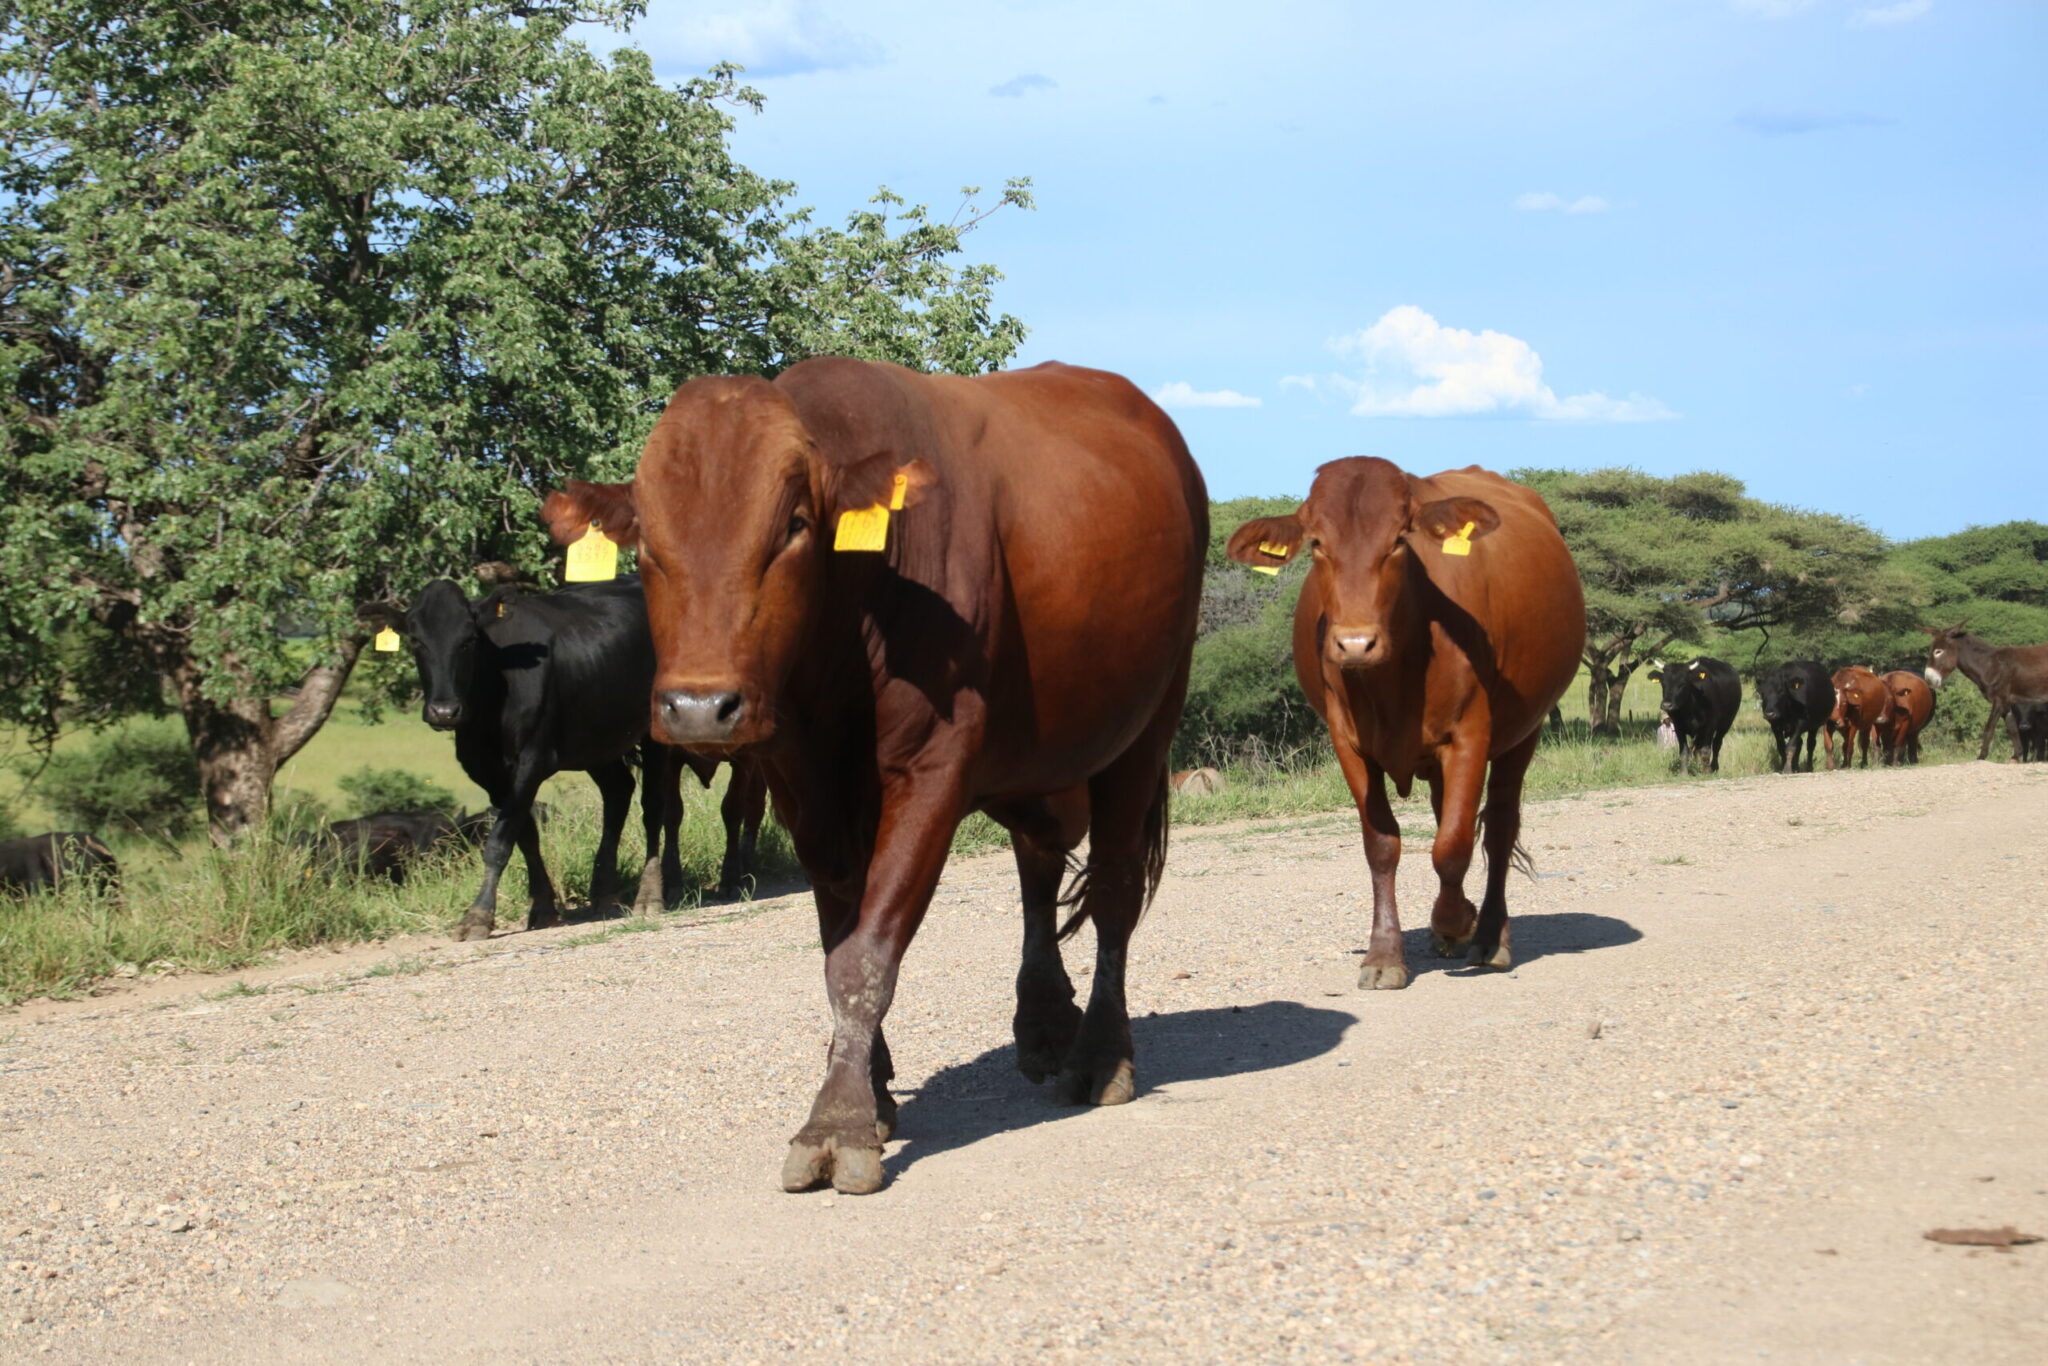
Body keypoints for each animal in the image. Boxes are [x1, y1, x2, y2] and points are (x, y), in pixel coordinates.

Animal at [363, 577, 766, 940]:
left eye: (468, 641)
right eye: (416, 640)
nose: (444, 711)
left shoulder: (531, 760)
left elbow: (499, 842)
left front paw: (478, 915)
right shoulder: (488, 772)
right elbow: (524, 834)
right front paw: (542, 907)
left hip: (654, 737)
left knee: (654, 809)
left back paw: (650, 895)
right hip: (598, 742)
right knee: (618, 793)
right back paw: (603, 892)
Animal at [542, 357, 1206, 1195]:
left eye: (795, 526)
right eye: (646, 540)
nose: (698, 707)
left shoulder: (930, 769)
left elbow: (865, 956)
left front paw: (838, 1123)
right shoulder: (805, 789)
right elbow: (841, 941)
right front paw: (874, 1089)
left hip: (1144, 730)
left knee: (1115, 892)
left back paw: (1101, 1056)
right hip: (1041, 756)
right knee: (1038, 862)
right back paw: (1045, 1023)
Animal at [1225, 457, 1584, 989]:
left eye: (1398, 539)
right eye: (1317, 543)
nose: (1355, 643)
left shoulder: (1469, 735)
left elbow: (1452, 846)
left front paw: (1455, 920)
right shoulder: (1348, 743)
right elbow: (1383, 845)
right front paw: (1384, 954)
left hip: (1526, 729)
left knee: (1497, 827)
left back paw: (1488, 936)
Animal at [1922, 624, 2048, 761]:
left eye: (1938, 651)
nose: (1928, 679)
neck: (1990, 664)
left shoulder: (1998, 699)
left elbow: (1989, 728)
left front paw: (1981, 756)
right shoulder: (2006, 703)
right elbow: (2012, 729)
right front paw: (2016, 756)